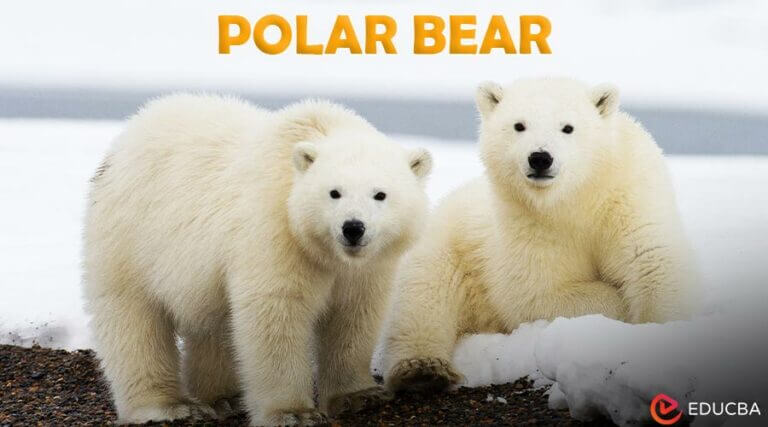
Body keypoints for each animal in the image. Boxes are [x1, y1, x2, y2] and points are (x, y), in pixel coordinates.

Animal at [82, 94, 433, 425]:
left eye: (380, 194)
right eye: (334, 192)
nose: (353, 228)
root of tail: (126, 137)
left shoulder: (368, 268)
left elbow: (354, 315)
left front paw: (359, 396)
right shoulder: (275, 232)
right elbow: (276, 311)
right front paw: (293, 413)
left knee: (214, 325)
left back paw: (223, 398)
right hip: (131, 236)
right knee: (133, 318)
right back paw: (168, 406)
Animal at [383, 78, 698, 393]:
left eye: (568, 127)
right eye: (519, 125)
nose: (540, 158)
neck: (577, 197)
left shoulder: (628, 196)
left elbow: (651, 262)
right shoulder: (530, 223)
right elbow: (536, 291)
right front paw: (616, 306)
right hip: (445, 246)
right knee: (424, 298)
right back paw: (422, 370)